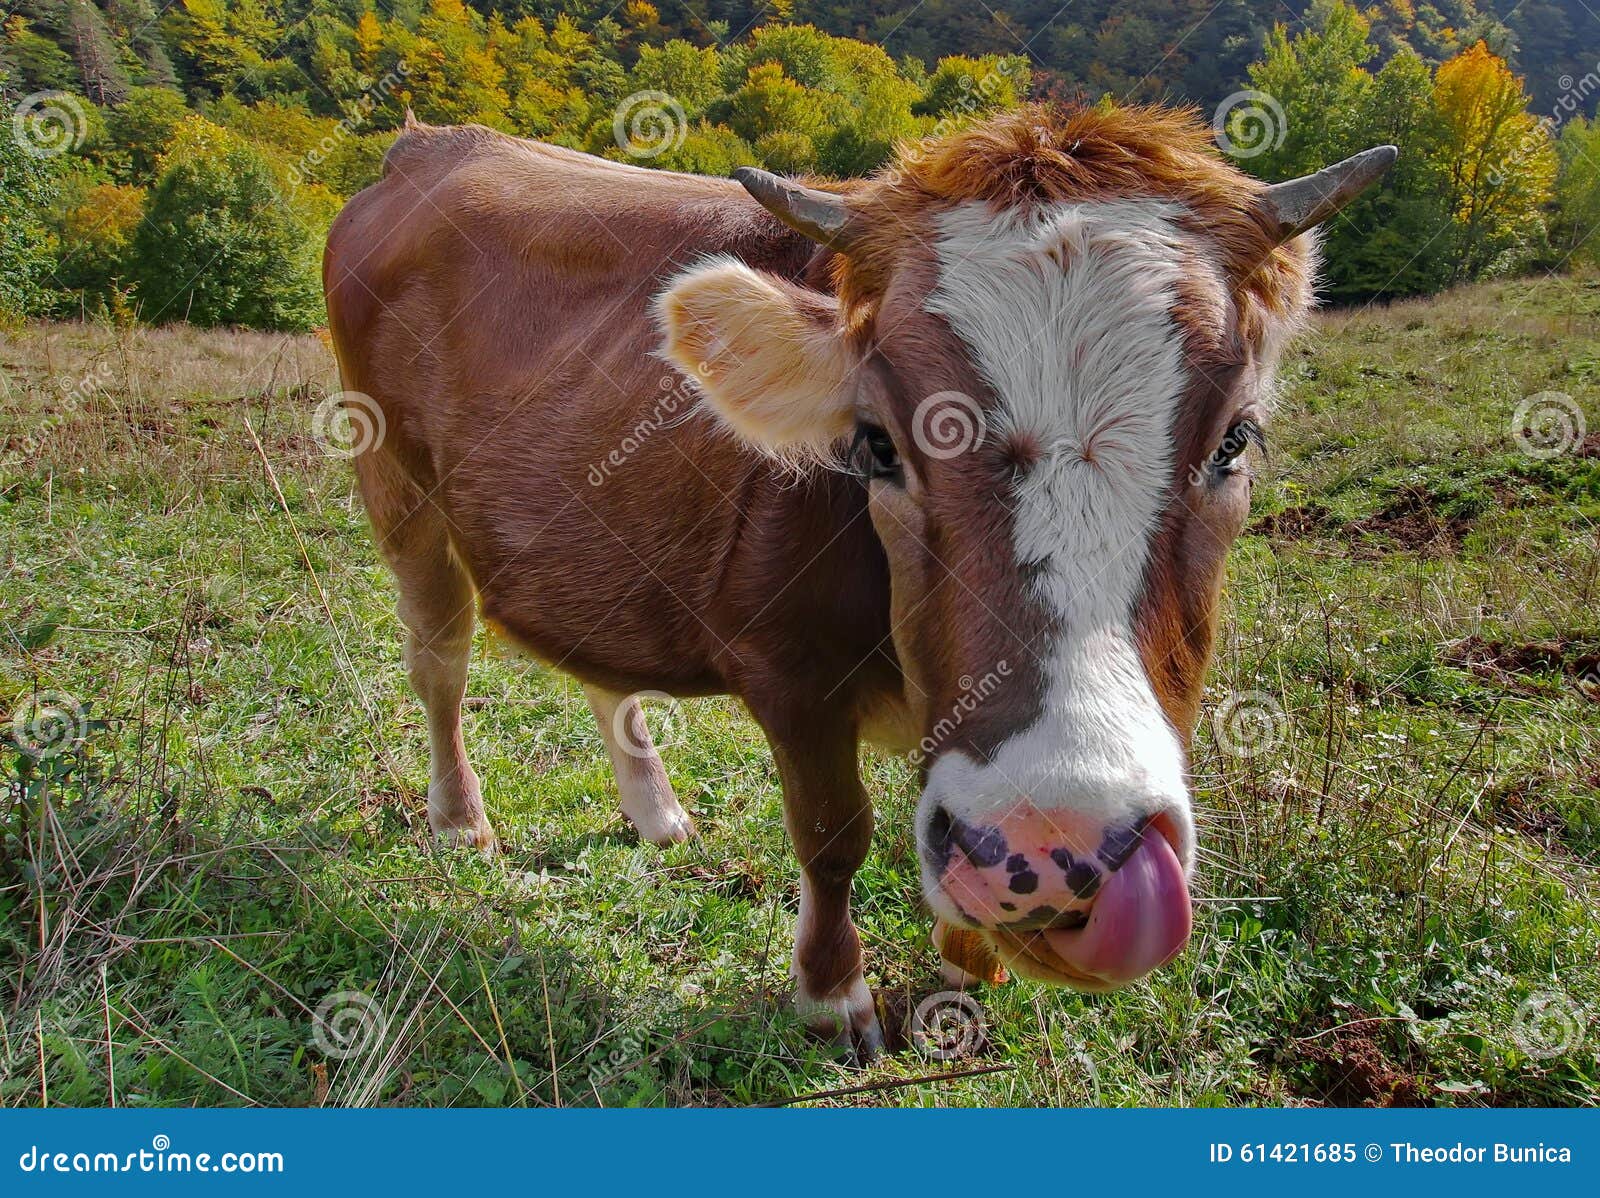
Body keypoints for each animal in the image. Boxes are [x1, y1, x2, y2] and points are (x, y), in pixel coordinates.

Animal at [323, 103, 1393, 1058]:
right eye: (877, 445)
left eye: (1235, 441)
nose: (1052, 853)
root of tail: (429, 145)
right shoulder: (787, 671)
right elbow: (834, 835)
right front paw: (834, 997)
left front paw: (967, 968)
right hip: (396, 485)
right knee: (439, 661)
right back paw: (461, 823)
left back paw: (655, 814)